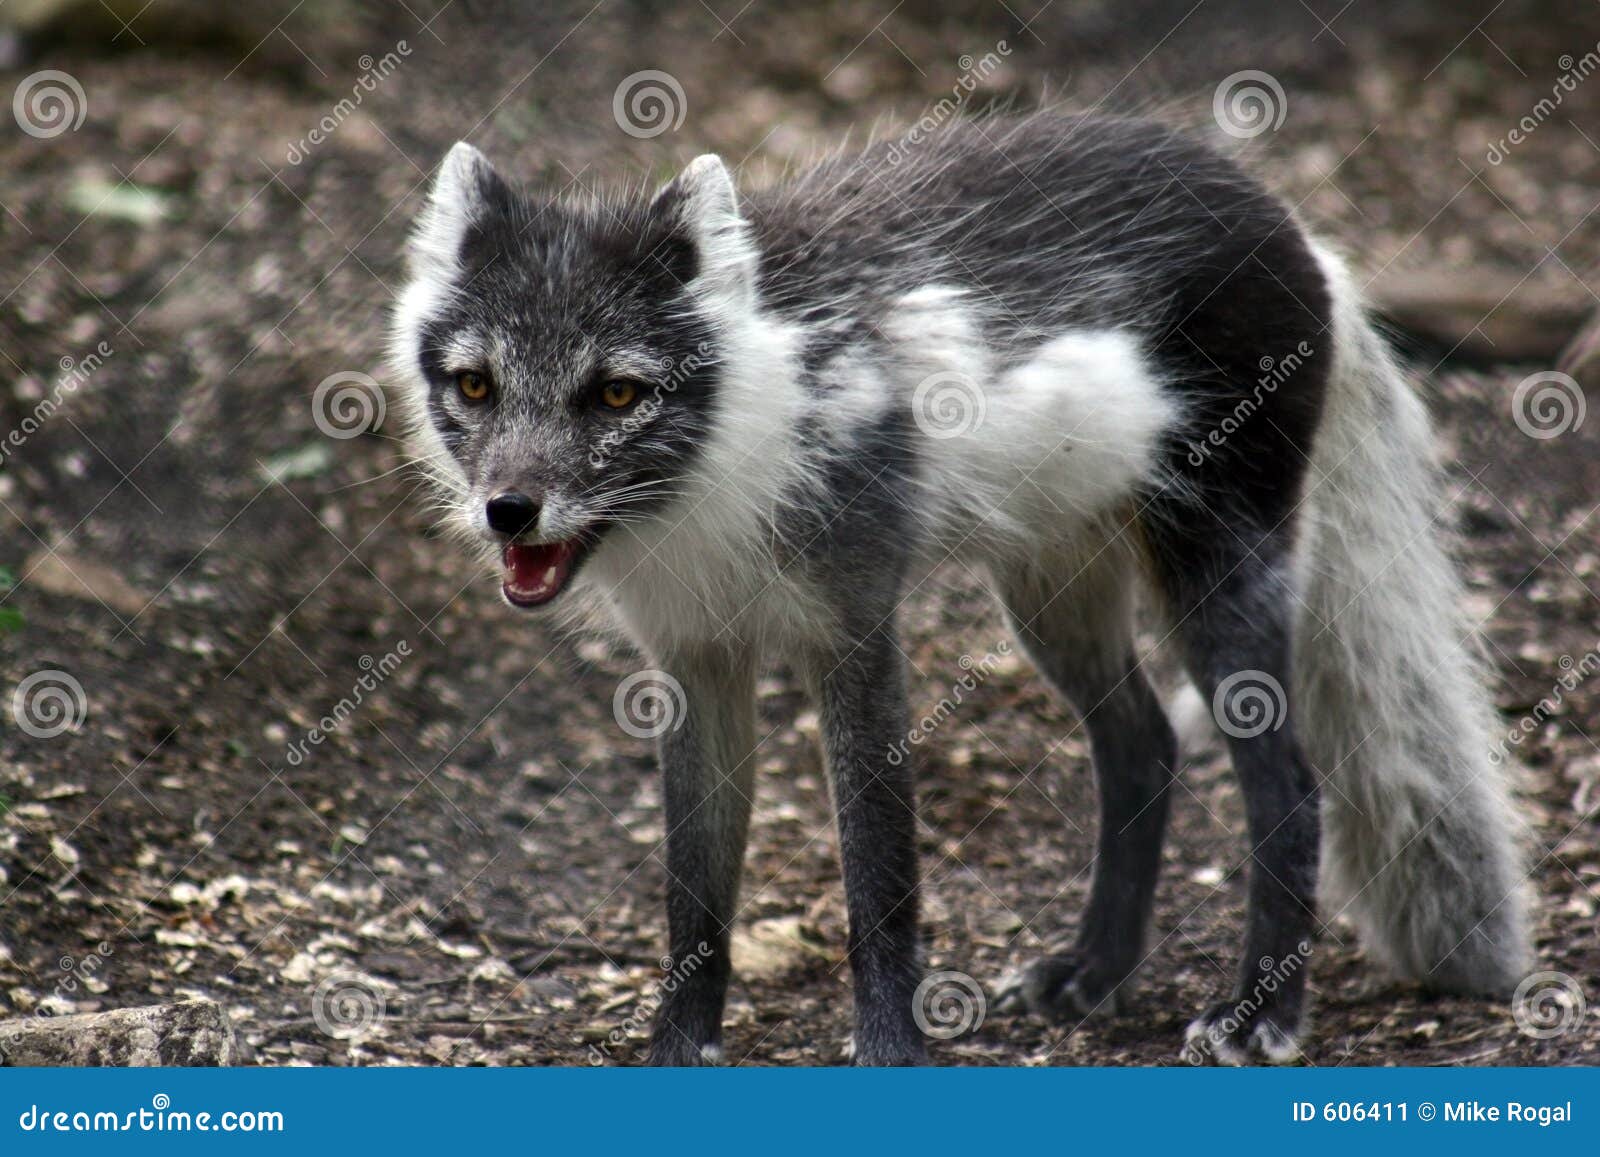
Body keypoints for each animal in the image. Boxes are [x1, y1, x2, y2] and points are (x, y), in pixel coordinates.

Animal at [387, 111, 1531, 1066]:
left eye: (618, 393)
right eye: (476, 385)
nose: (508, 511)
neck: (722, 462)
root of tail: (1297, 227)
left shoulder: (856, 632)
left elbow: (880, 877)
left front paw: (891, 1051)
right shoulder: (696, 660)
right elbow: (694, 894)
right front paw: (679, 1049)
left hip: (1216, 575)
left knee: (1291, 788)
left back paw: (1259, 1016)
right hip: (1050, 595)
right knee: (1142, 745)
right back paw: (1096, 971)